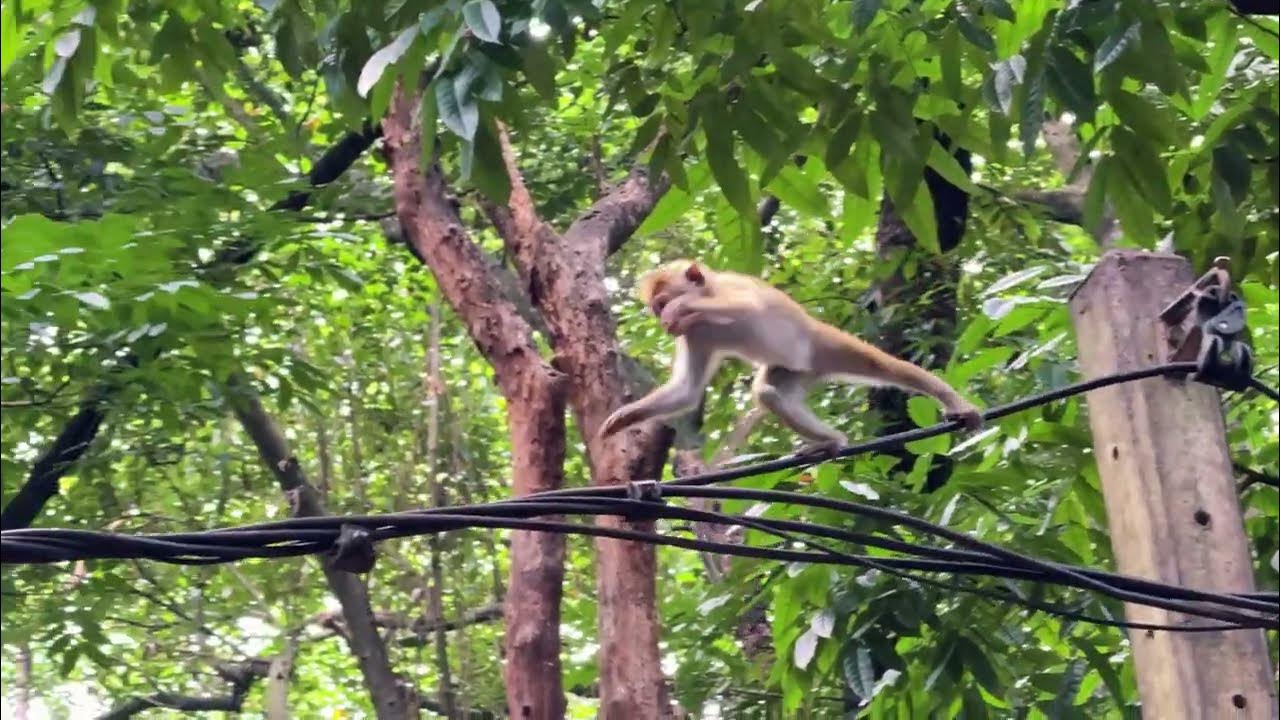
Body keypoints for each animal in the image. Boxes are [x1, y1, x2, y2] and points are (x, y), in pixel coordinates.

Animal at [599, 260, 982, 456]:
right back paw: (831, 441)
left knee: (886, 366)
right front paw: (624, 417)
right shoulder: (693, 336)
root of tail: (815, 361)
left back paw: (950, 399)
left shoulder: (725, 294)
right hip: (796, 370)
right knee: (768, 391)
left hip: (826, 343)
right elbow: (688, 390)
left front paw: (684, 306)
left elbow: (749, 307)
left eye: (663, 303)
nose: (664, 318)